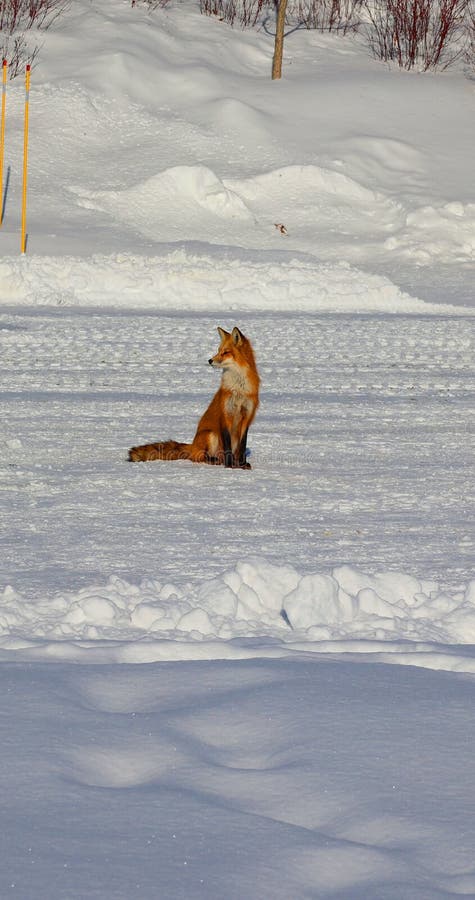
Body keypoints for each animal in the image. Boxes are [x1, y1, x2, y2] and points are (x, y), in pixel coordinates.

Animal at [128, 326, 260, 469]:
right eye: (218, 350)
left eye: (225, 352)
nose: (209, 360)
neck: (238, 389)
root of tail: (192, 445)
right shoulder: (226, 416)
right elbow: (227, 446)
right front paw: (230, 465)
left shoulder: (247, 416)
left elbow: (242, 446)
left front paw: (242, 464)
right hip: (210, 434)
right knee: (198, 457)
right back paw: (214, 460)